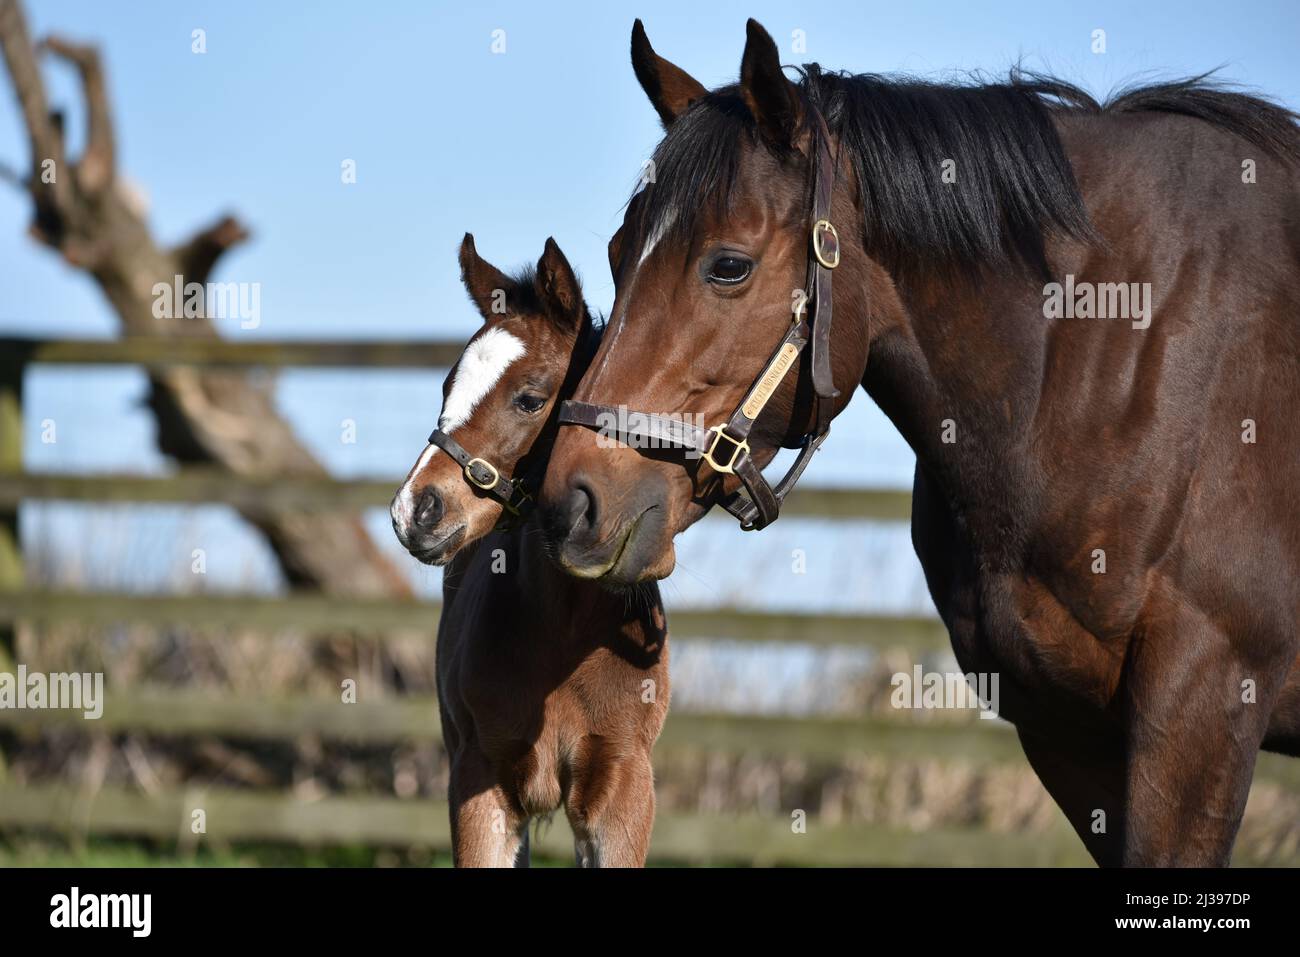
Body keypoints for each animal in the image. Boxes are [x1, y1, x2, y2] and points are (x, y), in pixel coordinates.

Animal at [391, 235, 669, 867]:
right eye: (446, 386)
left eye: (530, 398)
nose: (416, 510)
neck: (564, 630)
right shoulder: (480, 778)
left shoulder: (623, 787)